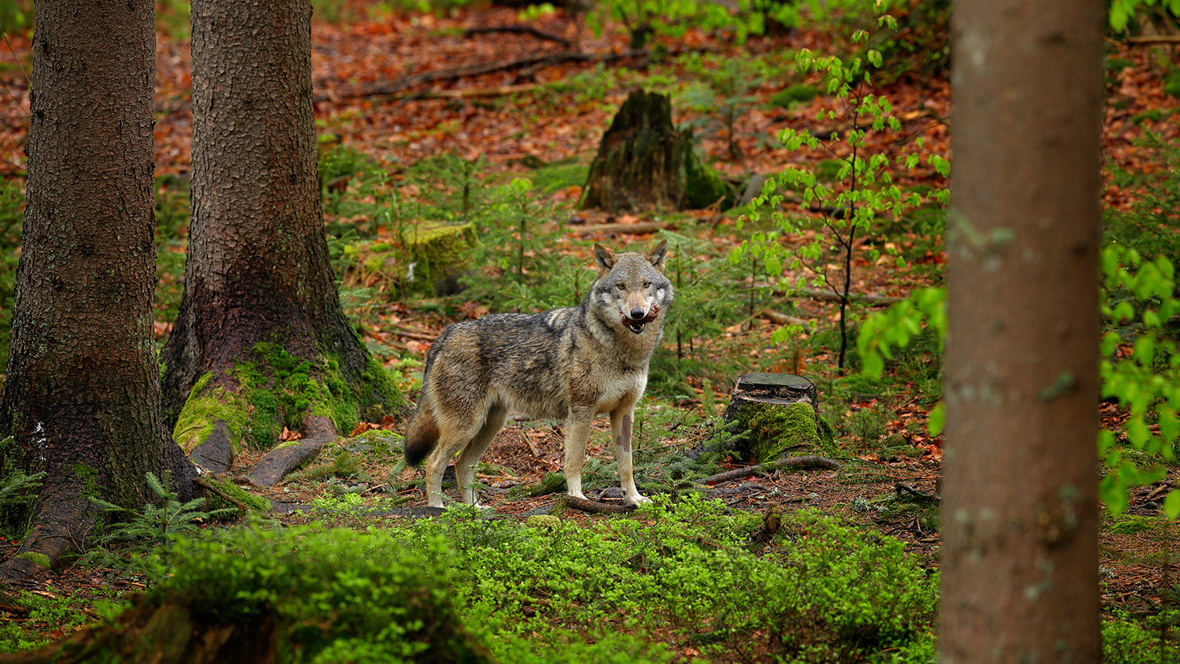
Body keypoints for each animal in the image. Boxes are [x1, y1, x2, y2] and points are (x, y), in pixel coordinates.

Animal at [404, 241, 673, 508]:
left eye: (646, 284)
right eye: (621, 286)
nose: (637, 313)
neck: (624, 350)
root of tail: (444, 335)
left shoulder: (624, 411)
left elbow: (627, 465)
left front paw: (634, 498)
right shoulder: (581, 411)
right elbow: (575, 460)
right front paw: (576, 497)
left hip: (489, 425)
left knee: (462, 464)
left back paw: (474, 510)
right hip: (466, 426)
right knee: (434, 463)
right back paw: (438, 508)